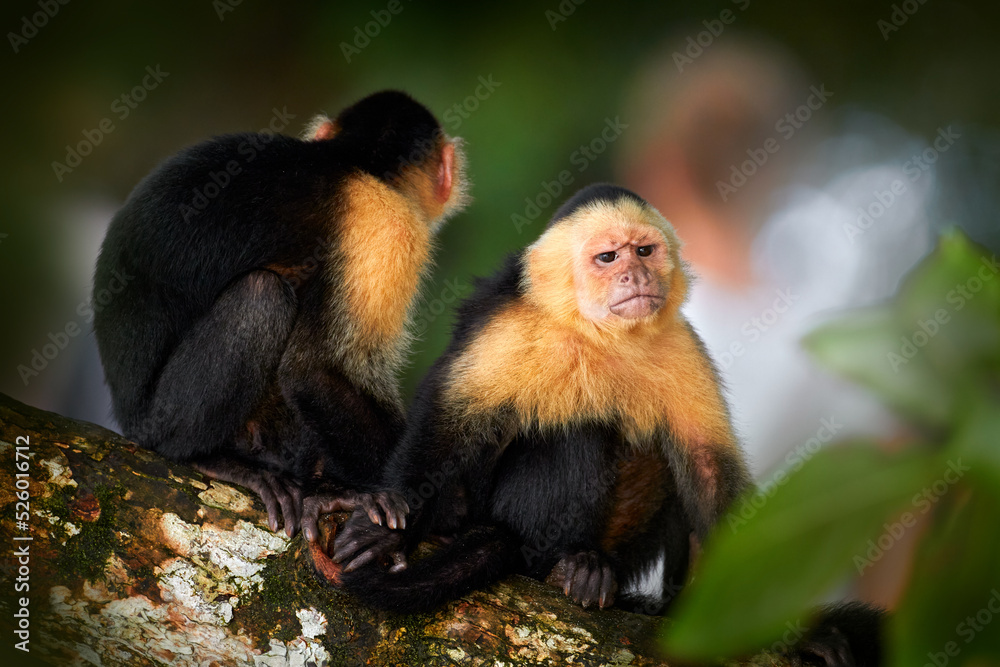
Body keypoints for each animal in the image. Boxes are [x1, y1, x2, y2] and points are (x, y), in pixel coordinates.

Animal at [93, 90, 469, 540]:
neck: (356, 159)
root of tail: (130, 420)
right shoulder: (386, 226)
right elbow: (315, 372)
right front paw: (438, 504)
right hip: (162, 419)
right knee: (263, 296)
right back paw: (207, 458)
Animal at [330, 183, 883, 666]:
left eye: (644, 251)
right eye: (608, 258)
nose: (636, 277)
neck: (598, 332)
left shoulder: (680, 343)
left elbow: (708, 471)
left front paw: (799, 633)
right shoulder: (512, 326)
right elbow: (451, 424)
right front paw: (389, 521)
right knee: (575, 434)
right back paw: (562, 566)